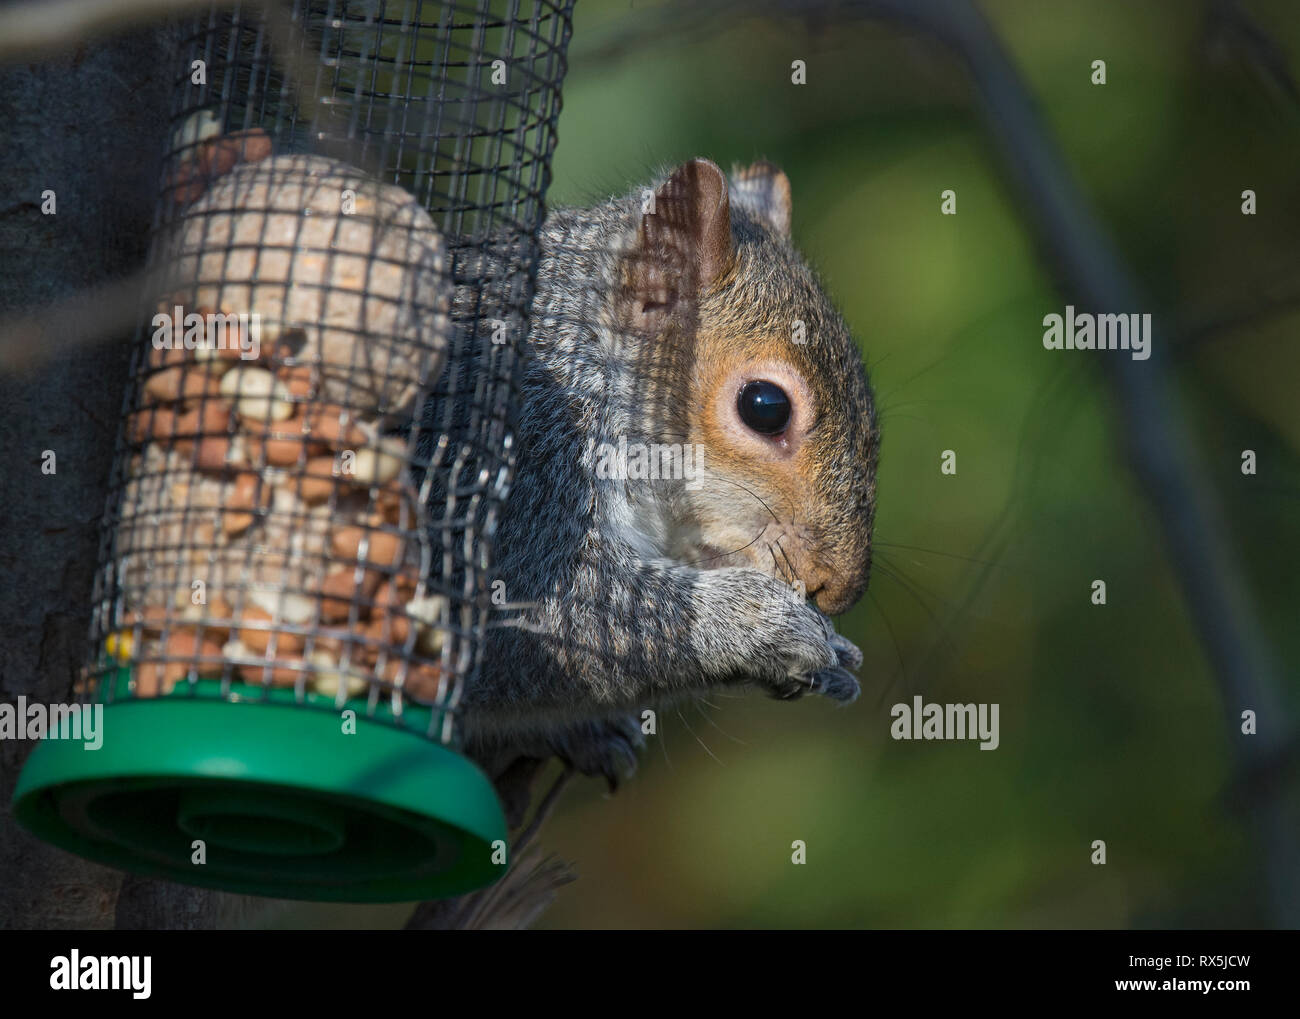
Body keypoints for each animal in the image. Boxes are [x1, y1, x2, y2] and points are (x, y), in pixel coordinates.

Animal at [456, 158, 879, 784]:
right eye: (765, 406)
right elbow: (536, 623)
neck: (588, 362)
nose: (838, 588)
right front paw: (761, 626)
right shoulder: (526, 460)